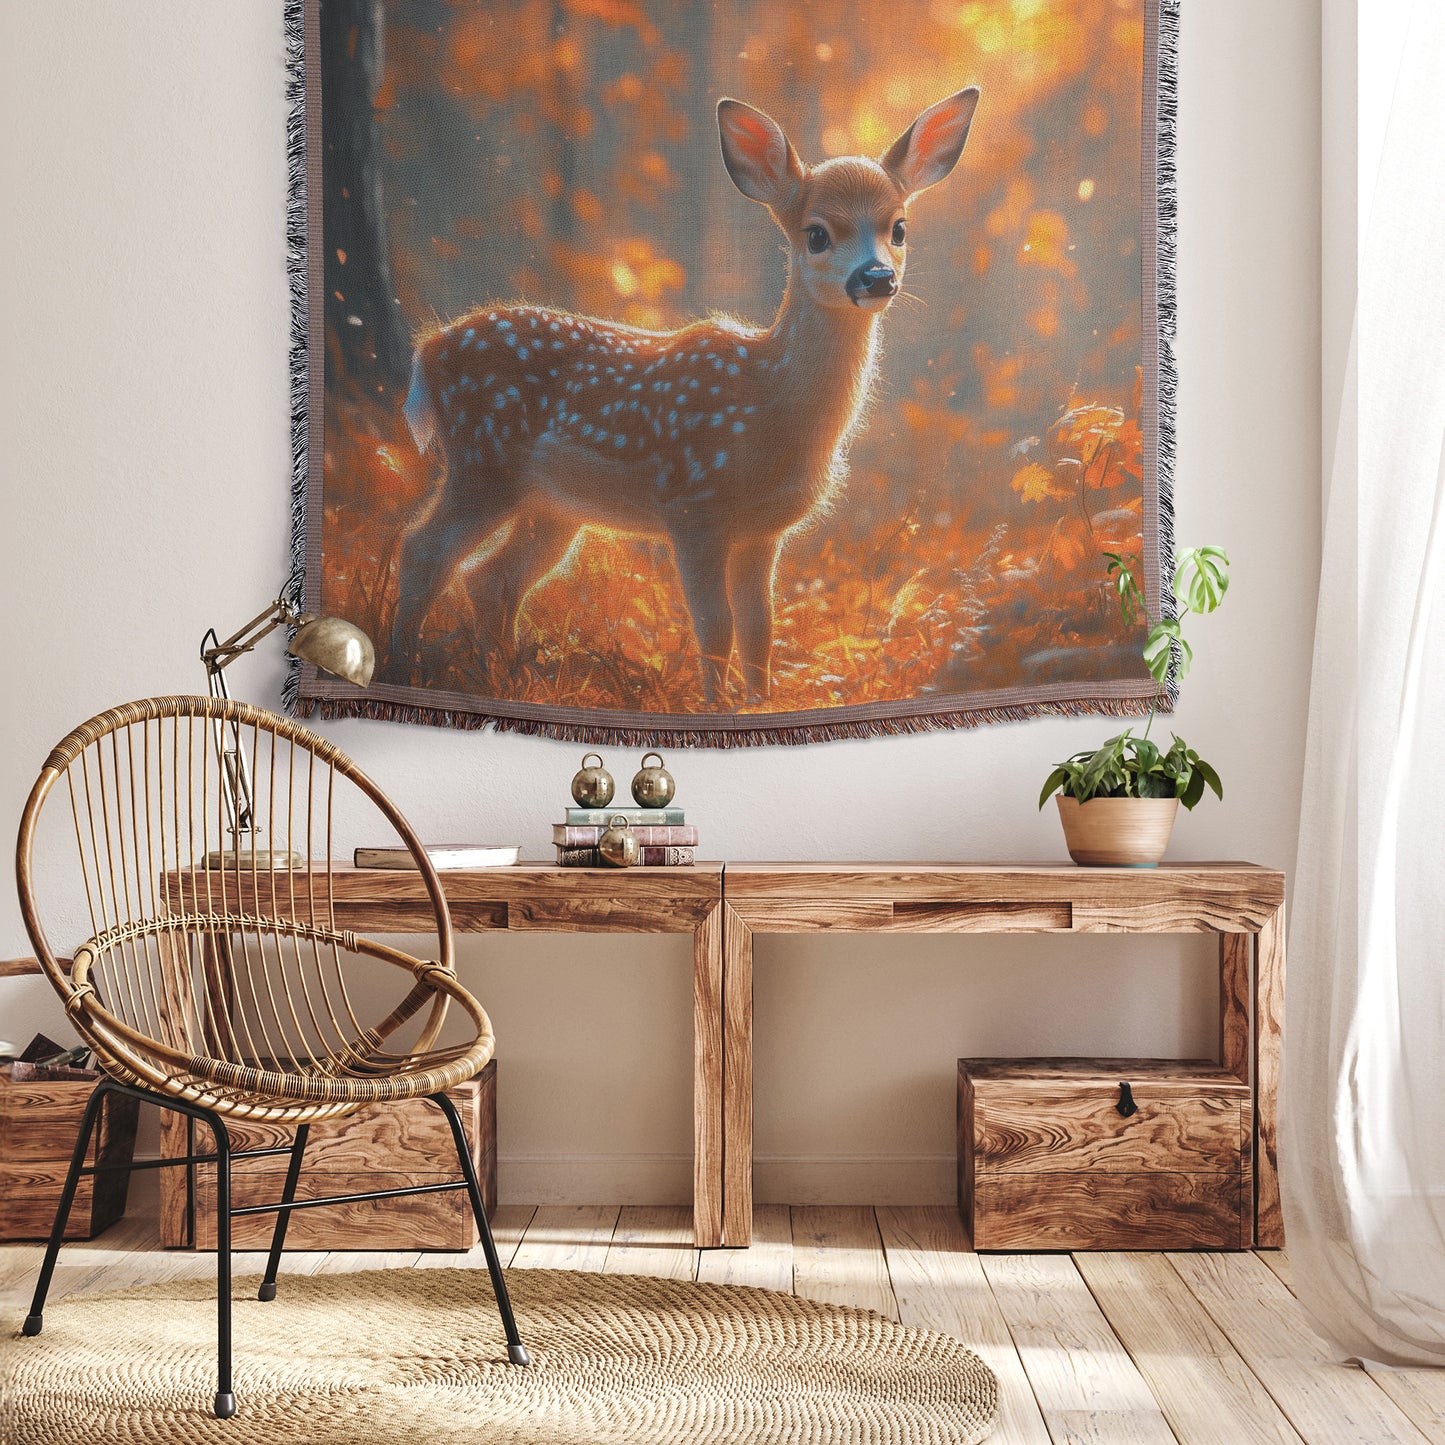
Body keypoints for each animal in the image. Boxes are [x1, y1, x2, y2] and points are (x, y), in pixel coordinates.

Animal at [385, 85, 980, 706]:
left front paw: (759, 705)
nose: (876, 277)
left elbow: (760, 629)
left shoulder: (762, 530)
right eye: (817, 233)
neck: (772, 400)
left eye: (899, 227)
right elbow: (715, 625)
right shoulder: (693, 505)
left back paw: (503, 681)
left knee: (492, 578)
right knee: (424, 550)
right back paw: (405, 667)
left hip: (552, 503)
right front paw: (716, 706)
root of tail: (428, 352)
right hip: (485, 458)